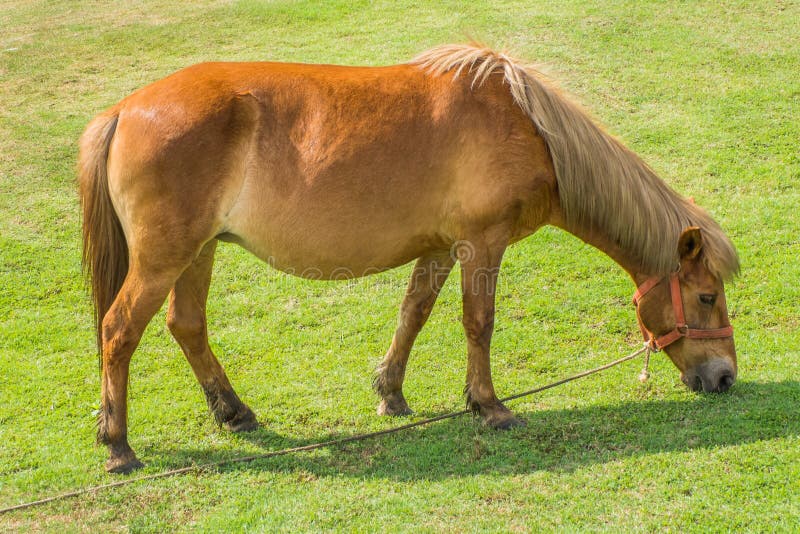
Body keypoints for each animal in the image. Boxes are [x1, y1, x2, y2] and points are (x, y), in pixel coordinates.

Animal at [79, 43, 739, 473]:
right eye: (707, 296)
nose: (725, 377)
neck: (524, 124)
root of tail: (123, 109)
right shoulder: (481, 243)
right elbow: (478, 324)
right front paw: (489, 407)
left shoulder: (441, 249)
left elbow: (413, 314)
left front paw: (390, 394)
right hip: (164, 259)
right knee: (118, 331)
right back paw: (118, 445)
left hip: (198, 252)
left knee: (186, 326)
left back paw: (234, 412)